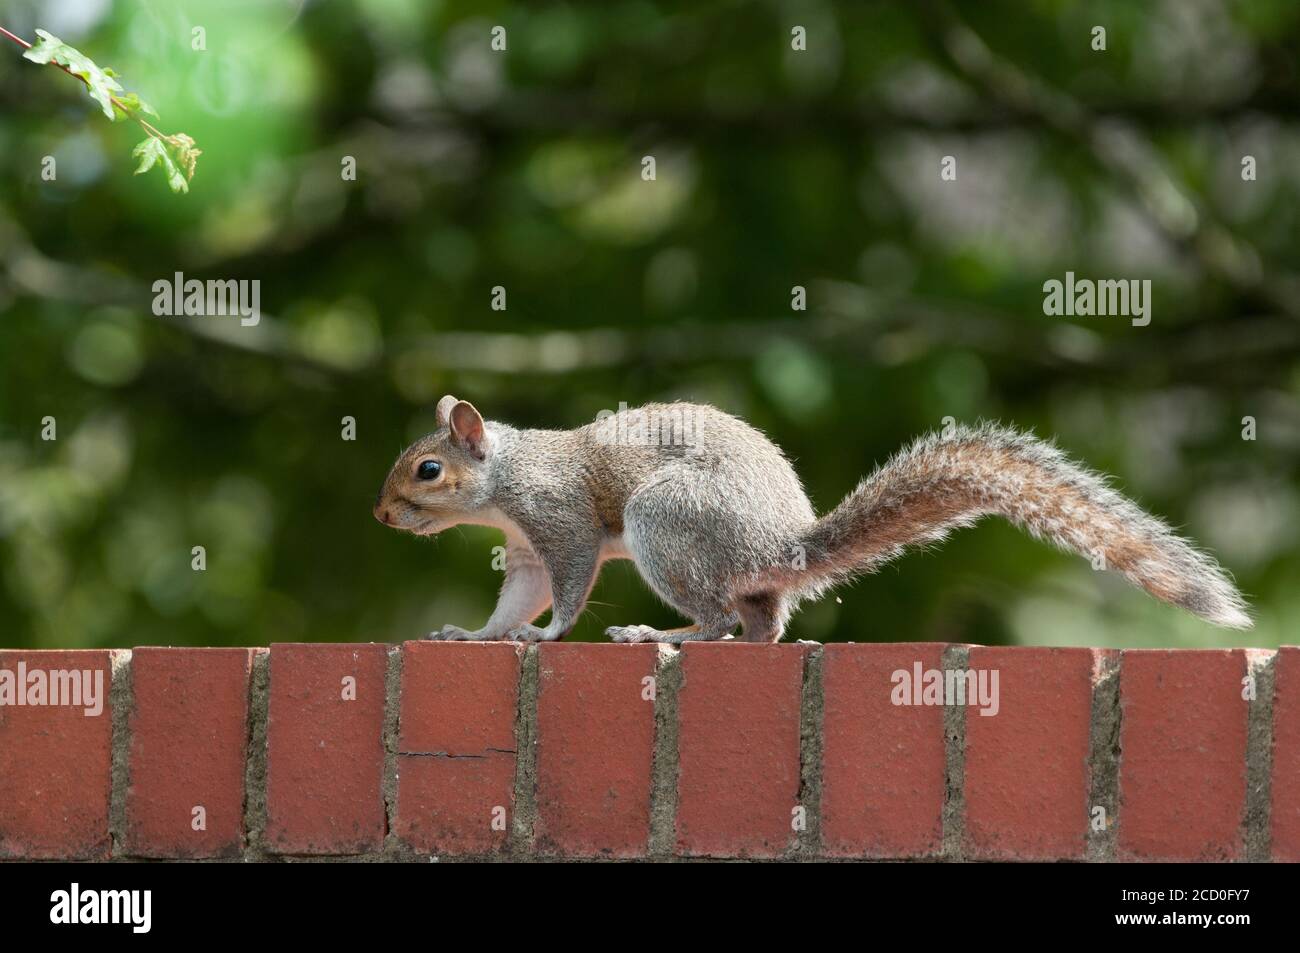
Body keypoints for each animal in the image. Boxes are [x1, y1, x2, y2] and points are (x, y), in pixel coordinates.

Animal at [373, 396, 1251, 643]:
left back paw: (665, 633)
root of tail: (783, 546)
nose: (381, 514)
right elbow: (514, 598)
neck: (507, 476)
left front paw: (550, 634)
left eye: (428, 470)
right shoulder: (523, 552)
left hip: (665, 524)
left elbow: (569, 585)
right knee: (761, 625)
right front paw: (478, 634)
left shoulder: (560, 524)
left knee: (722, 617)